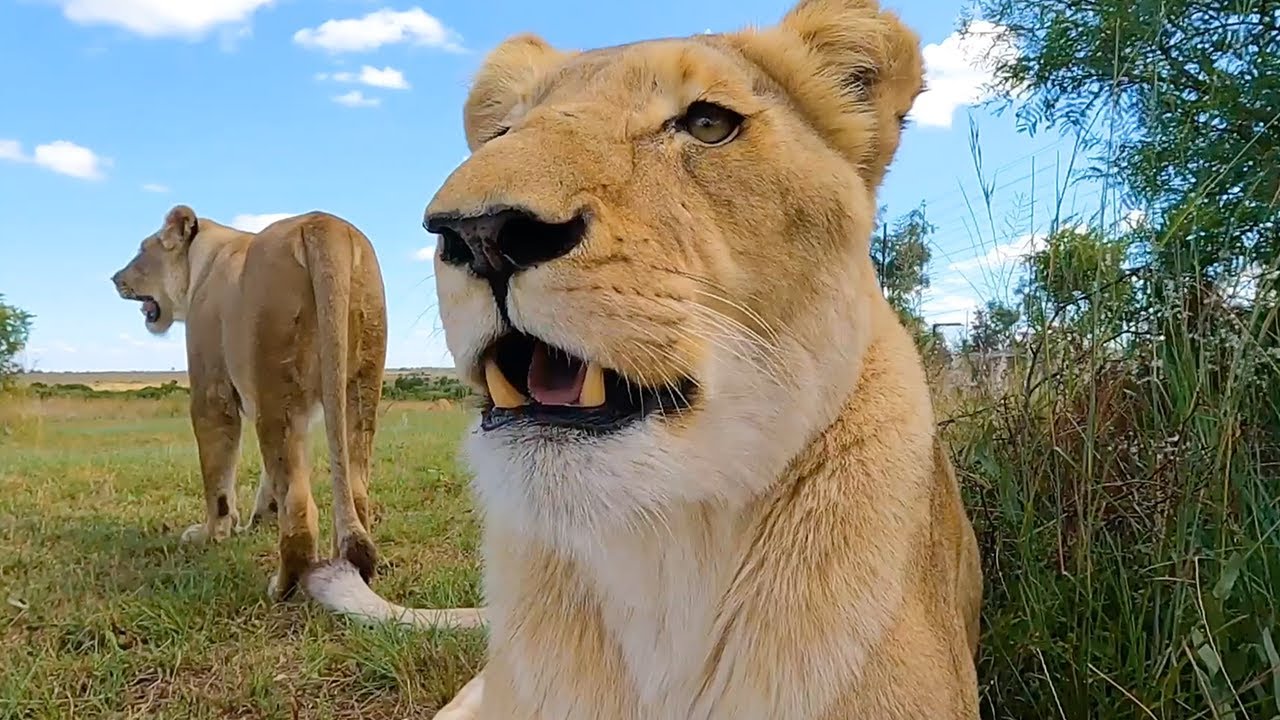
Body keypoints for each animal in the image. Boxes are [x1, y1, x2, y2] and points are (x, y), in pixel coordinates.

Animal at [110, 207, 388, 600]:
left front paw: (212, 534)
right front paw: (258, 521)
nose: (115, 278)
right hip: (359, 386)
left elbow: (217, 475)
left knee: (300, 508)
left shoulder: (213, 392)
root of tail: (323, 225)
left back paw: (282, 587)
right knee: (355, 490)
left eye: (142, 250)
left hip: (278, 386)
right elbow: (268, 482)